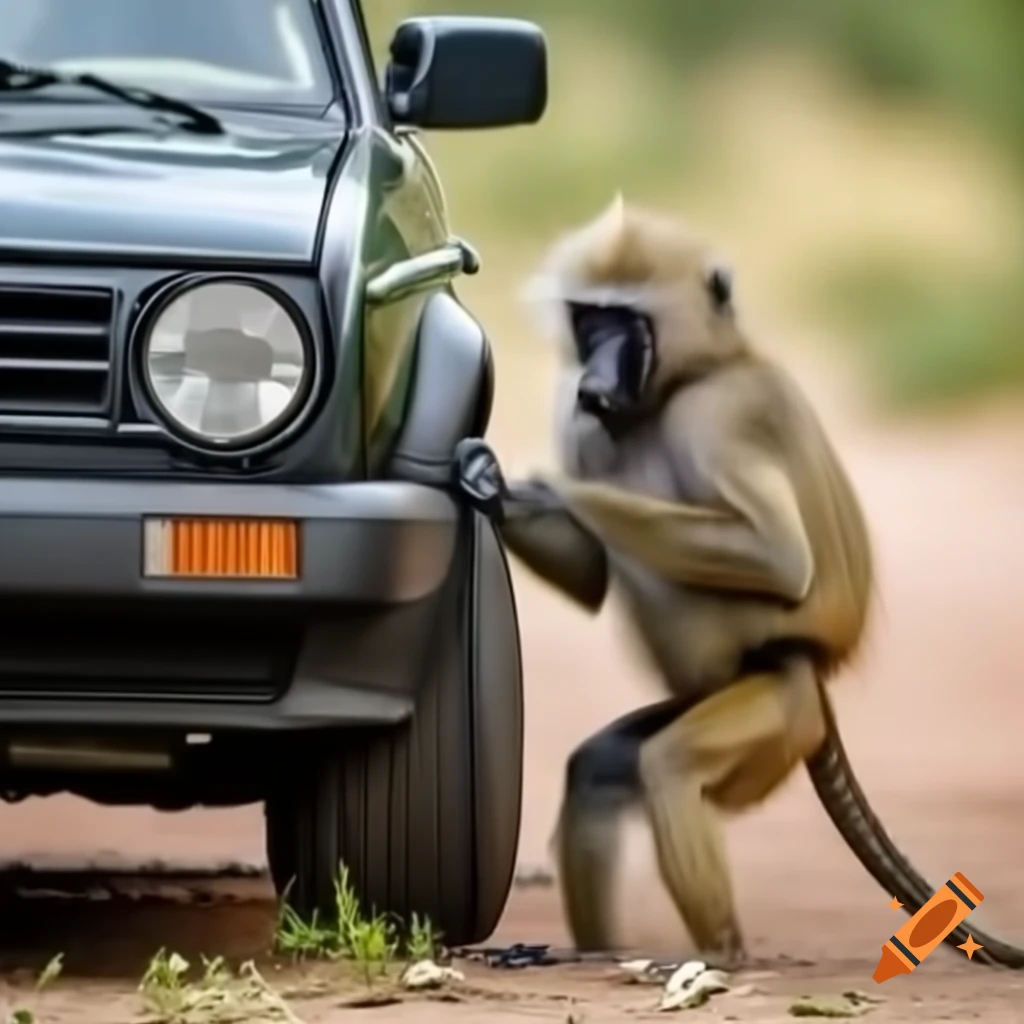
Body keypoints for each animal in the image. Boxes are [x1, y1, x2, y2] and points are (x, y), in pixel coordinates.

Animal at [452, 196, 1024, 969]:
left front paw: (541, 485)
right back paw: (600, 952)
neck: (685, 379)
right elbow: (595, 576)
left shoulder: (715, 415)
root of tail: (816, 677)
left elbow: (778, 559)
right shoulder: (585, 413)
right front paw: (491, 484)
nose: (596, 371)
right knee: (600, 771)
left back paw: (722, 955)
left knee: (670, 763)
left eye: (628, 325)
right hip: (718, 702)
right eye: (590, 321)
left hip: (777, 706)